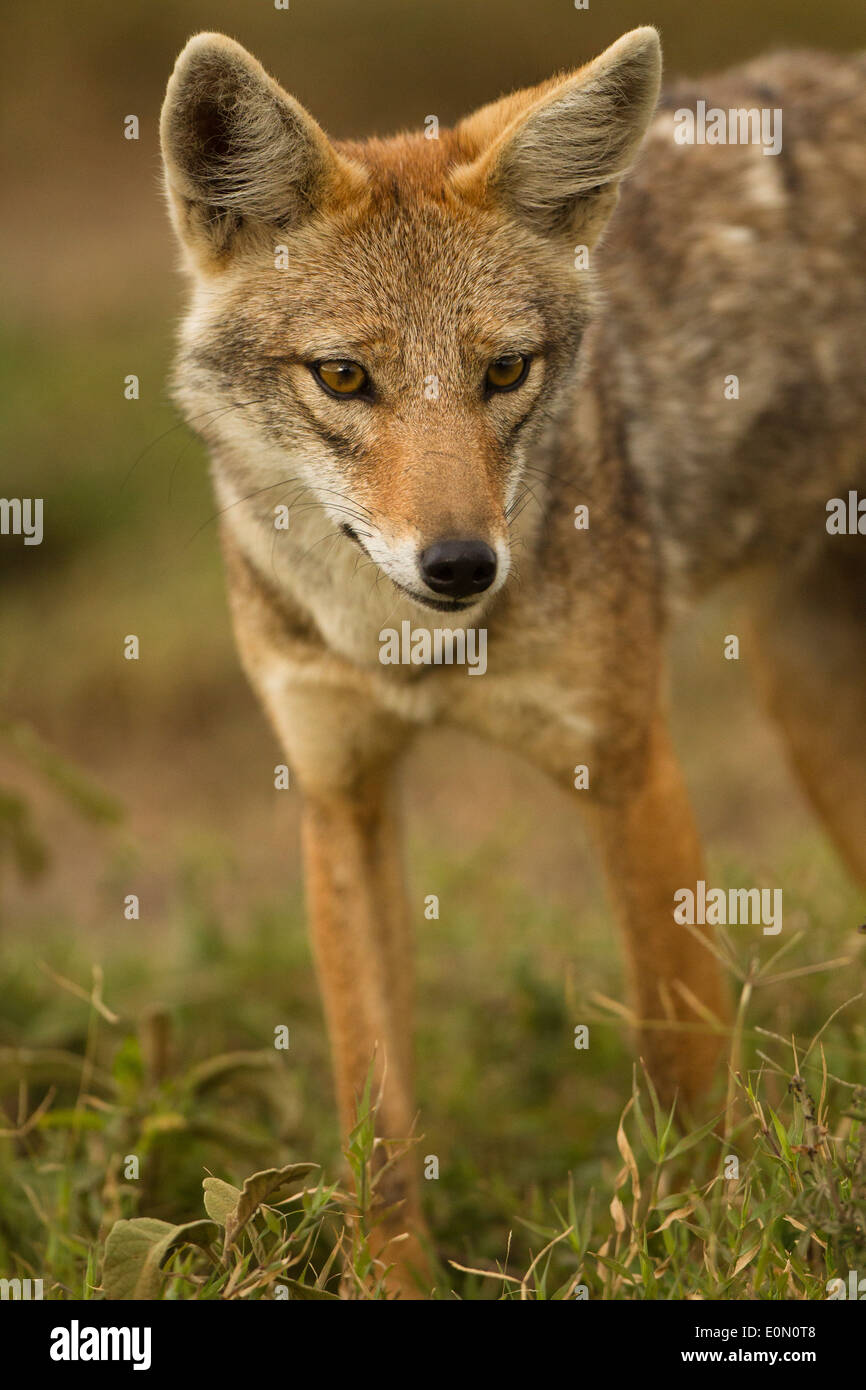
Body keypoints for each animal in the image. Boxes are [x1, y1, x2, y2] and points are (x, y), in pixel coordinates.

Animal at [160, 27, 866, 1294]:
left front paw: (683, 1245)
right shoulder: (339, 789)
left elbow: (678, 1059)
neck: (404, 647)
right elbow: (377, 1120)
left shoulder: (624, 763)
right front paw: (392, 1278)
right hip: (806, 698)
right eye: (343, 377)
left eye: (503, 372)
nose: (459, 563)